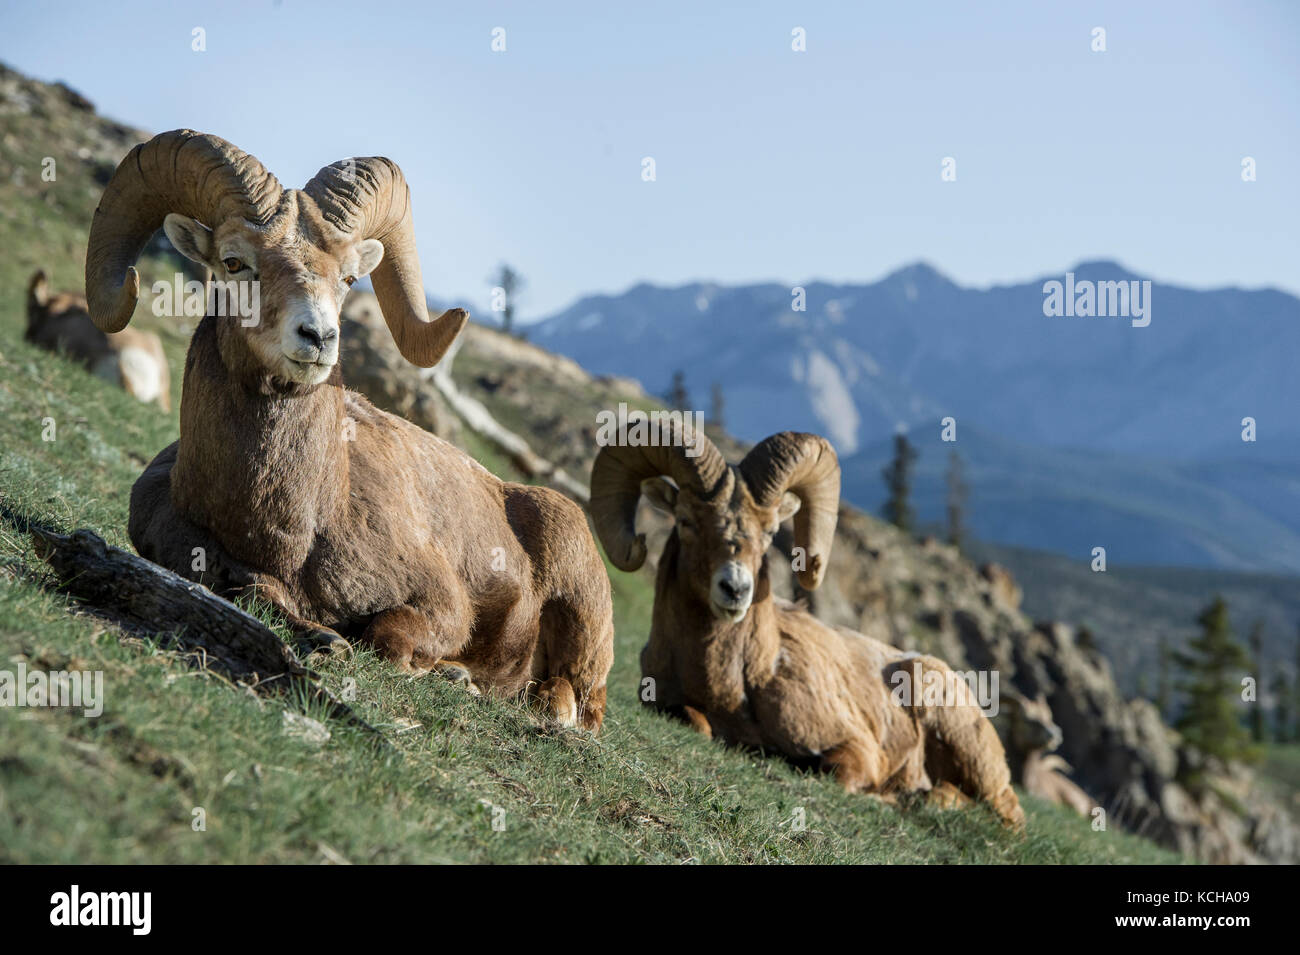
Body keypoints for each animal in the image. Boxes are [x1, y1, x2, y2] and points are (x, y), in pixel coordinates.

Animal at [85, 129, 614, 730]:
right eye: (235, 261)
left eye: (348, 277)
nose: (318, 337)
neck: (291, 529)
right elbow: (258, 590)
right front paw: (326, 637)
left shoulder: (443, 604)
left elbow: (388, 636)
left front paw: (443, 671)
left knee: (577, 702)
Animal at [590, 426, 1024, 825]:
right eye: (685, 521)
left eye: (769, 531)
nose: (735, 589)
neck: (740, 682)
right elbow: (698, 723)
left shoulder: (857, 748)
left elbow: (837, 775)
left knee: (1003, 811)